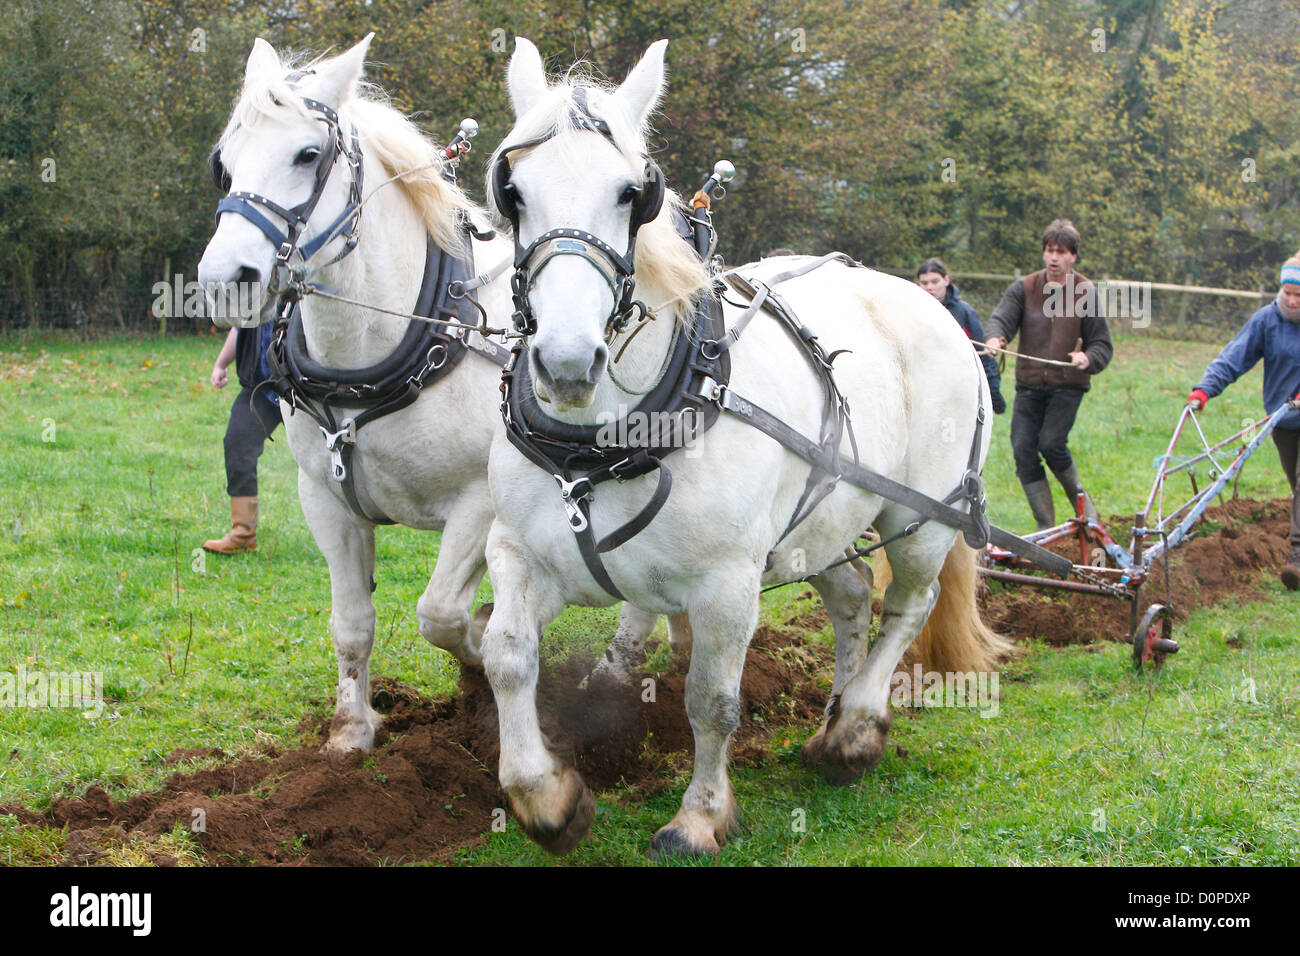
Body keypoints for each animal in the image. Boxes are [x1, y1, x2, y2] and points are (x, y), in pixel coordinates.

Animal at [477, 37, 1011, 857]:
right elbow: (505, 655)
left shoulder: (728, 585)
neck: (601, 443)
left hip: (922, 518)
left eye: (633, 194)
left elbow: (712, 701)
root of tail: (926, 302)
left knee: (907, 605)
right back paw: (832, 711)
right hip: (816, 526)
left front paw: (699, 816)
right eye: (513, 191)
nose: (567, 362)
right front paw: (547, 800)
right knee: (853, 596)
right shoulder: (518, 550)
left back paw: (854, 730)